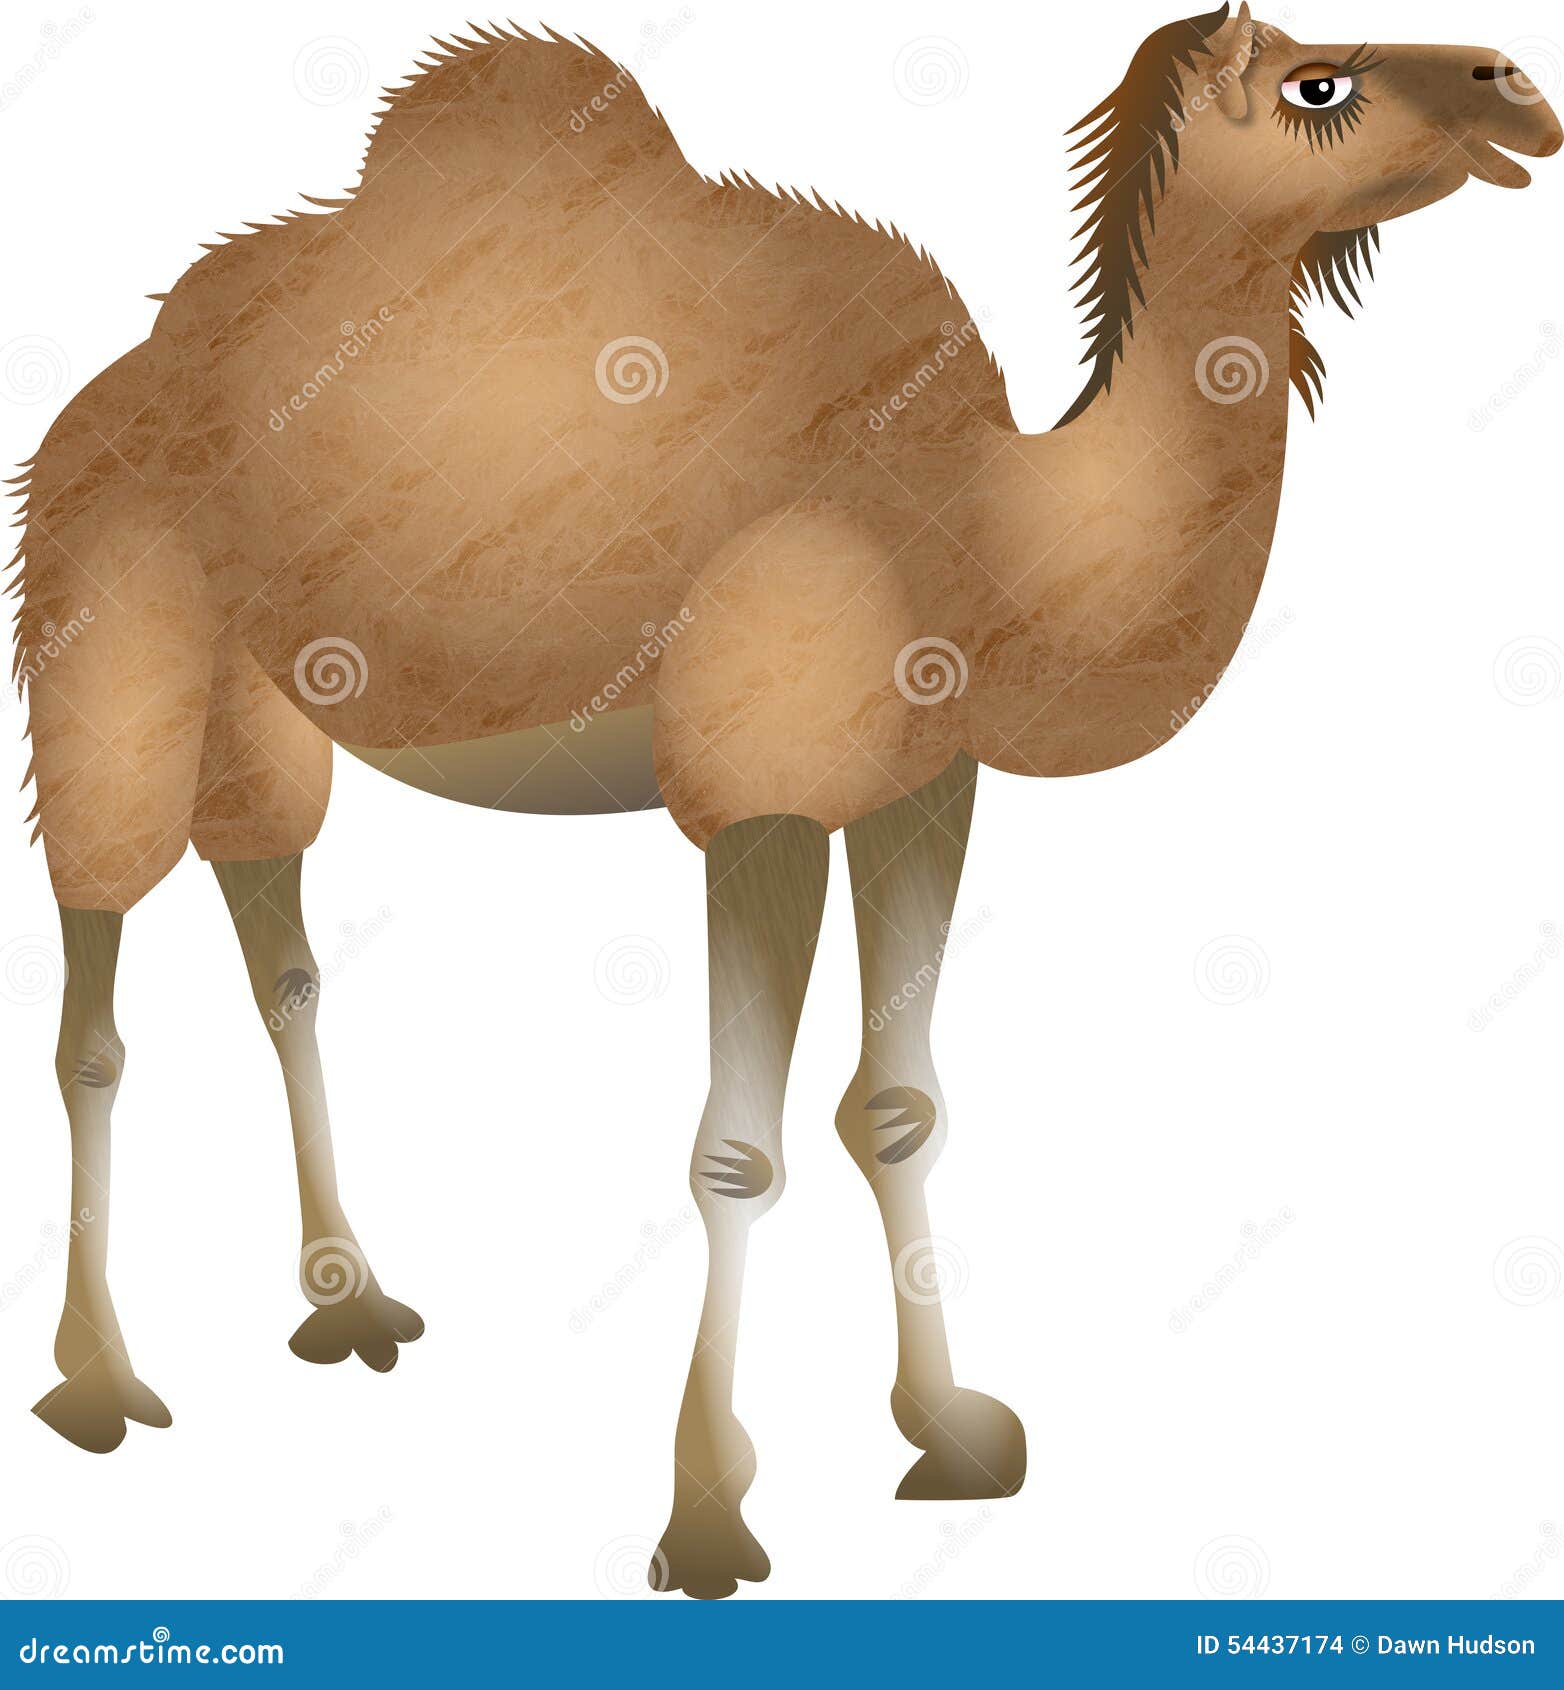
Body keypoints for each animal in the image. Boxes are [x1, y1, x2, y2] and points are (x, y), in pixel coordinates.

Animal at [8, 5, 1559, 1598]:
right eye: (1320, 82)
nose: (1516, 88)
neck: (984, 527)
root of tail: (116, 379)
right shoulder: (758, 781)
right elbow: (736, 1154)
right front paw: (706, 1520)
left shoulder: (922, 782)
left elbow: (899, 1106)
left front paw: (951, 1433)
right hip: (102, 598)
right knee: (95, 986)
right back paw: (98, 1383)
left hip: (265, 701)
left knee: (279, 941)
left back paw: (352, 1306)